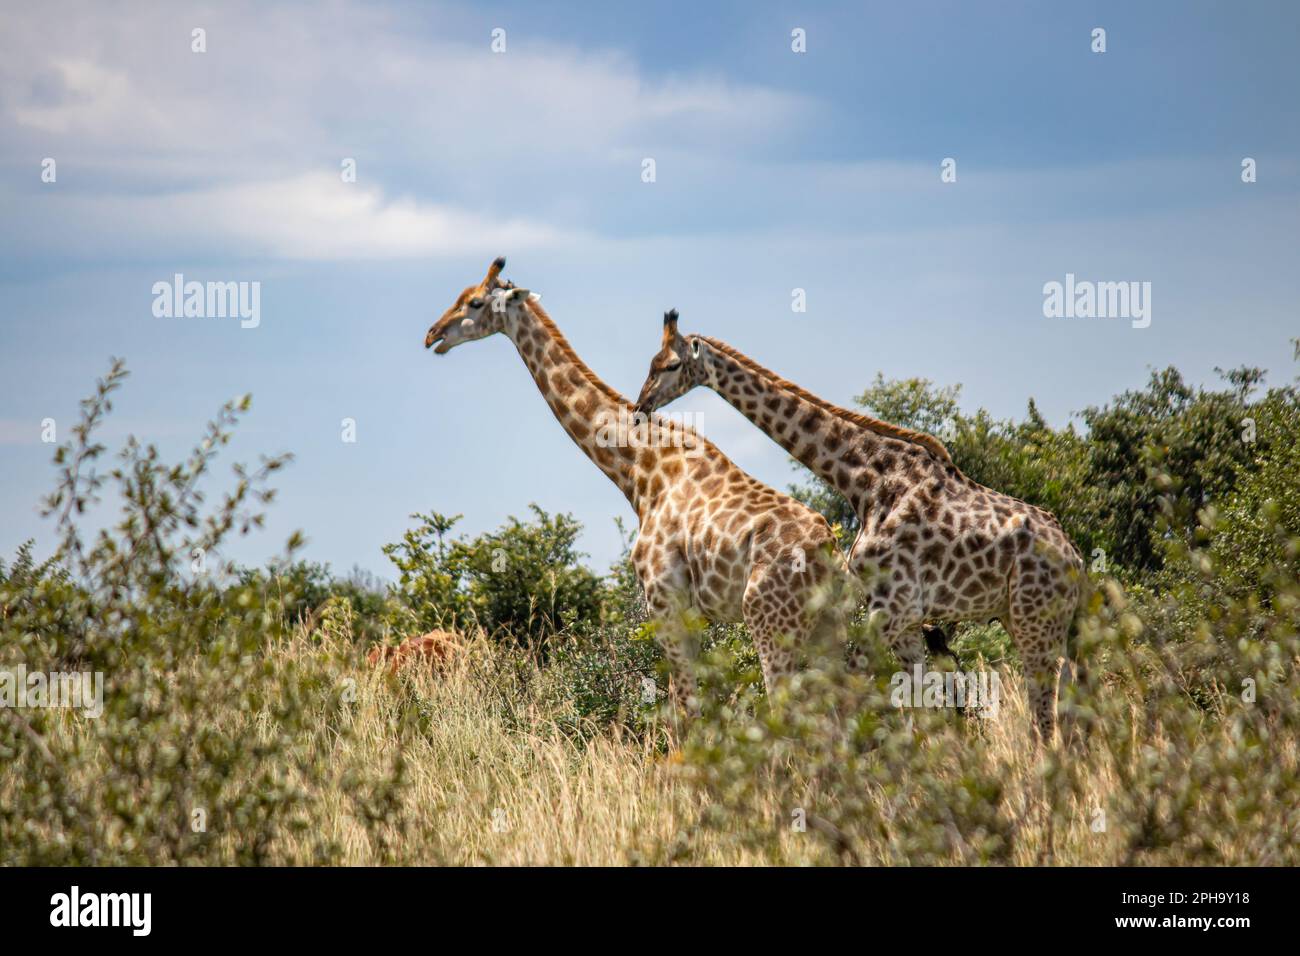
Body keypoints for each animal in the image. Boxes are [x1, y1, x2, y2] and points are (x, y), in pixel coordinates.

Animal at [423, 260, 850, 718]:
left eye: (474, 302)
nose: (433, 335)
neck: (641, 470)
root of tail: (829, 552)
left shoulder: (665, 604)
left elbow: (686, 712)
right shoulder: (693, 614)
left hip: (770, 621)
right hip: (829, 626)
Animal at [632, 311, 1086, 742]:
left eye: (671, 365)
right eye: (650, 362)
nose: (641, 406)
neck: (866, 481)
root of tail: (1077, 560)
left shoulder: (894, 604)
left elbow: (857, 688)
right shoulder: (904, 615)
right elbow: (916, 699)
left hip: (1033, 617)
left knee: (1045, 712)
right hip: (1034, 618)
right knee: (1070, 698)